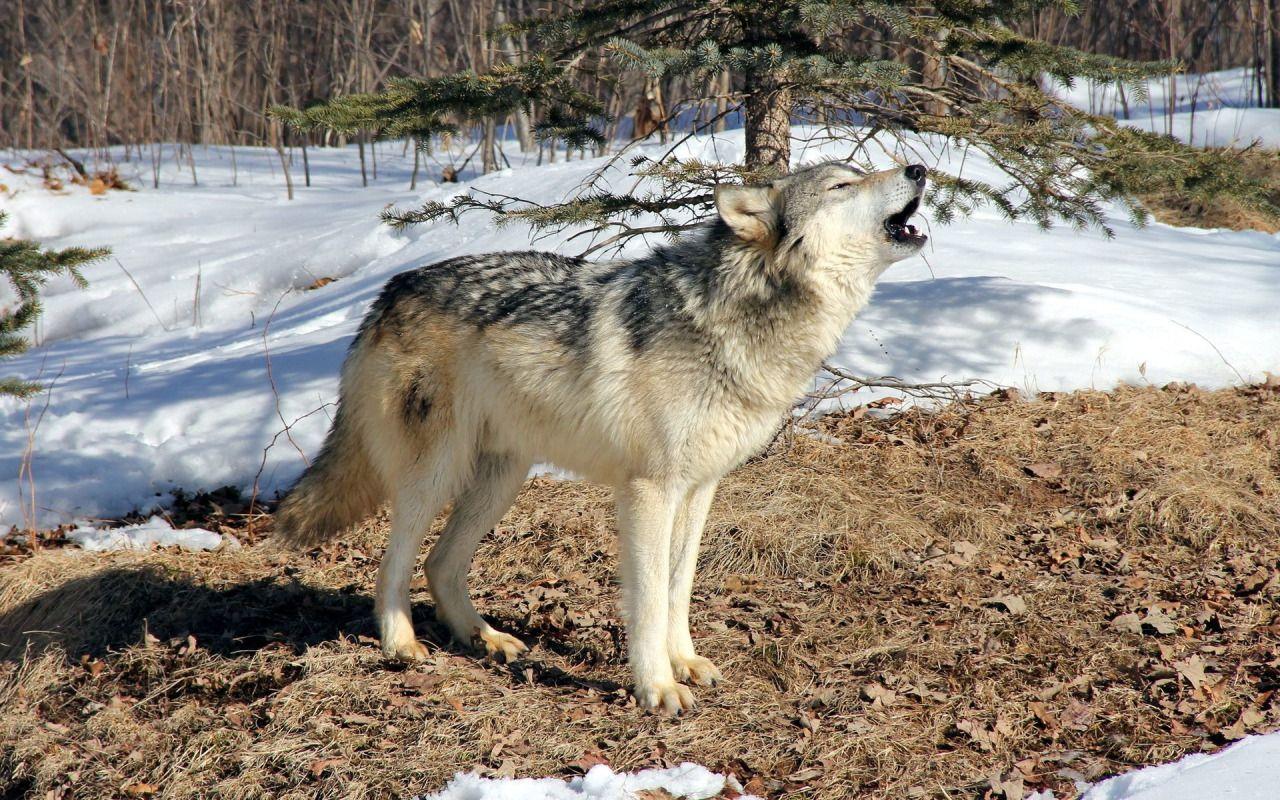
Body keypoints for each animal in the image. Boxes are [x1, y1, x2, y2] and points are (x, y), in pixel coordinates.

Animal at [273, 161, 929, 714]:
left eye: (861, 171)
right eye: (843, 185)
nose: (920, 167)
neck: (735, 319)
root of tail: (387, 292)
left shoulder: (699, 489)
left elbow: (678, 587)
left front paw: (685, 662)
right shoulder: (648, 491)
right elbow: (647, 600)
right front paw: (656, 687)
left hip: (500, 482)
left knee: (440, 565)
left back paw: (487, 639)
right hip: (434, 476)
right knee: (394, 563)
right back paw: (401, 645)